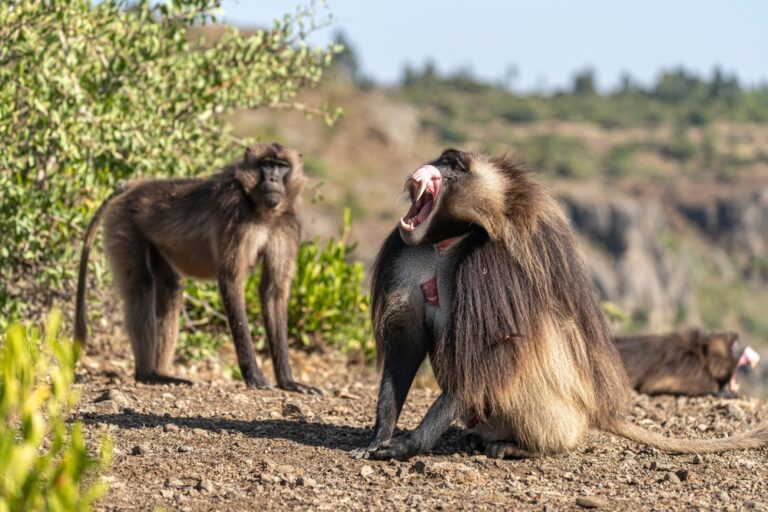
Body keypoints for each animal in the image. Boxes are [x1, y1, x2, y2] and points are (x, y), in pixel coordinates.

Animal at [74, 142, 320, 394]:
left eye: (282, 167)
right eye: (266, 164)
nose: (272, 179)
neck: (264, 212)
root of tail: (135, 186)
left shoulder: (287, 224)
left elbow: (273, 292)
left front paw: (288, 381)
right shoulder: (235, 210)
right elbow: (231, 279)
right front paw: (254, 376)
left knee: (170, 289)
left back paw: (161, 372)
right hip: (124, 224)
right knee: (141, 286)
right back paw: (148, 374)